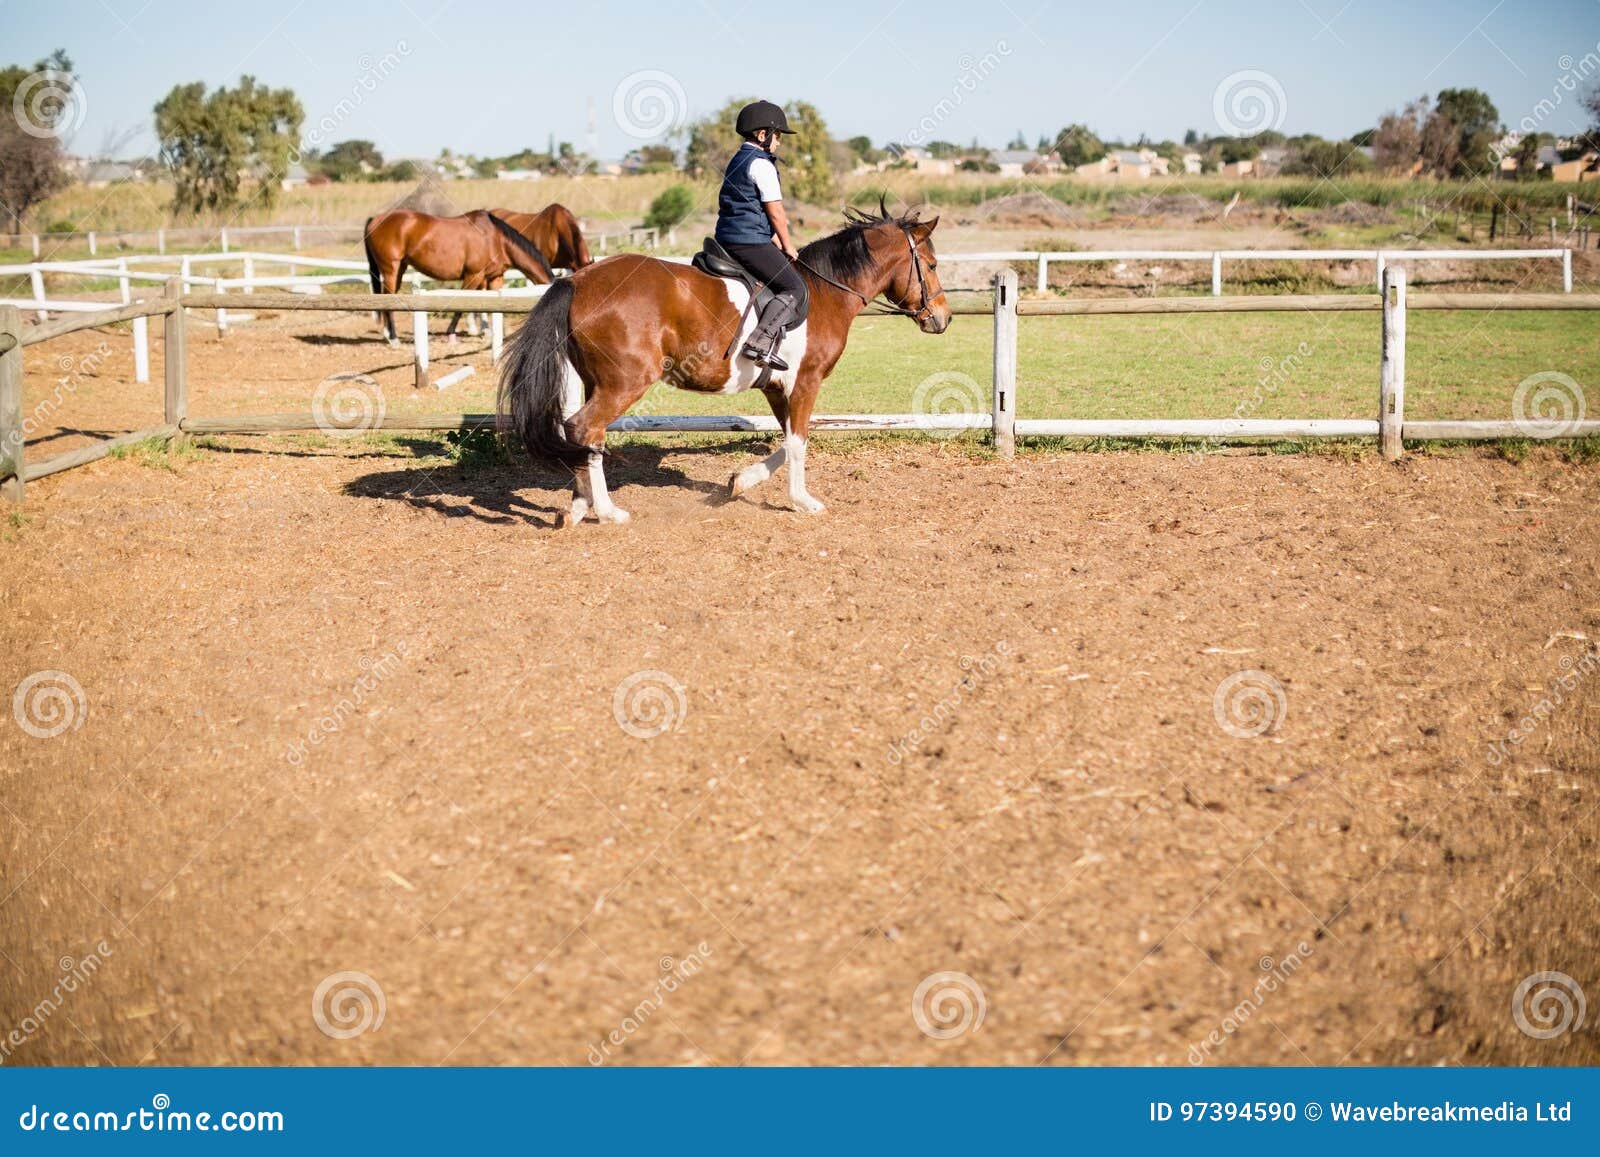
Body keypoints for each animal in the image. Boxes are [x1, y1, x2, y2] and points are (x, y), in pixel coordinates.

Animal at [362, 209, 554, 346]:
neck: (495, 238)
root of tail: (375, 219)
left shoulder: (495, 278)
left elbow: (494, 304)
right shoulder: (473, 275)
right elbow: (461, 305)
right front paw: (452, 334)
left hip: (400, 269)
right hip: (391, 269)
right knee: (387, 299)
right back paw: (393, 338)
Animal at [498, 201, 951, 524]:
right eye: (930, 265)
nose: (942, 319)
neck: (826, 290)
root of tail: (577, 280)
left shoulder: (777, 387)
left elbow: (786, 440)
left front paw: (739, 483)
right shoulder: (805, 382)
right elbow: (799, 442)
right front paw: (802, 501)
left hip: (597, 380)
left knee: (578, 432)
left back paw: (578, 506)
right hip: (624, 382)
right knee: (584, 428)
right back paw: (607, 511)